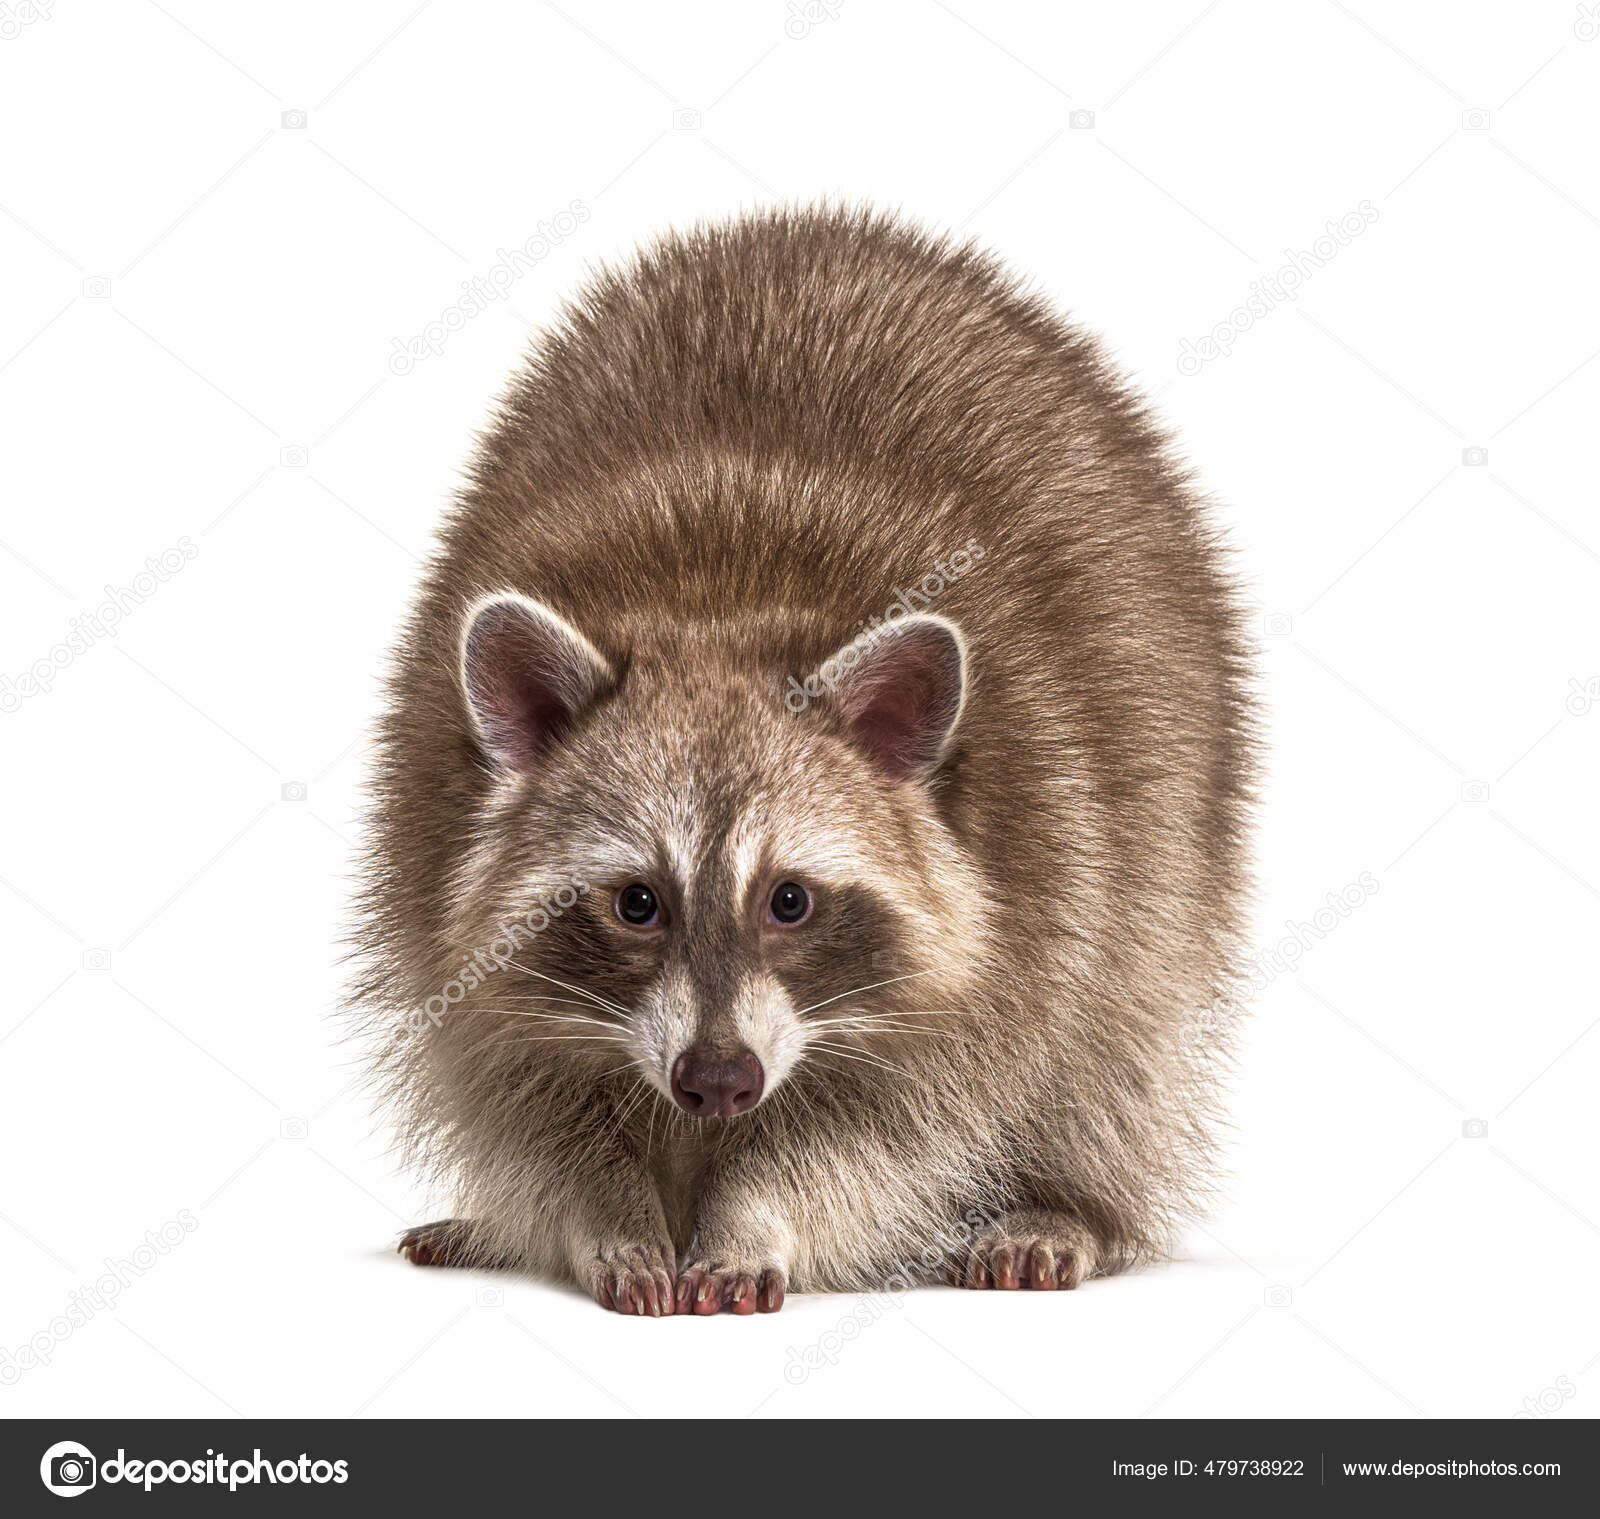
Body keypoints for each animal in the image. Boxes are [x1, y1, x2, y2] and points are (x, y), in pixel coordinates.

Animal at [354, 206, 1256, 1315]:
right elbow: (527, 1112)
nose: (718, 1083)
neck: (710, 599)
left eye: (790, 899)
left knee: (1120, 1039)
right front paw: (607, 1216)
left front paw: (755, 1216)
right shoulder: (434, 872)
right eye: (637, 902)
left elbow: (889, 1130)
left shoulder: (1037, 888)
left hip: (1163, 826)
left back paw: (1068, 1202)